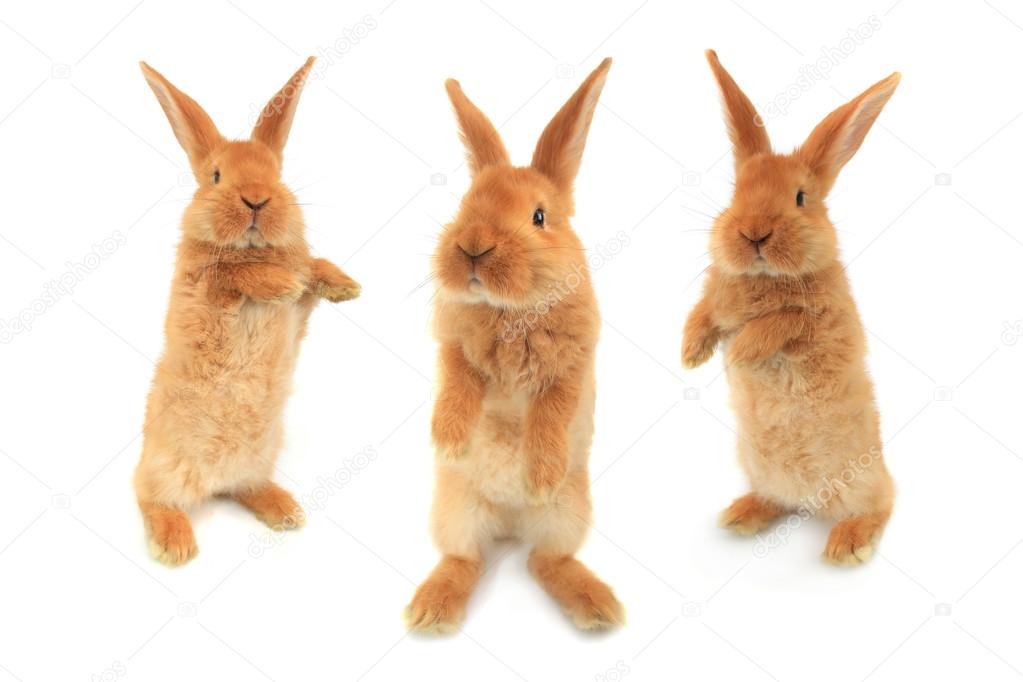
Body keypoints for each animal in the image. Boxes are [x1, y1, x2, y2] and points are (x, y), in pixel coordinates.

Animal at [133, 57, 360, 566]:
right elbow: (231, 277)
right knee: (149, 498)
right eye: (216, 176)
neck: (252, 249)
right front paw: (276, 283)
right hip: (162, 467)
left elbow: (311, 269)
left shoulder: (301, 308)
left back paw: (285, 511)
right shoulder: (202, 292)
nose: (257, 198)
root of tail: (212, 483)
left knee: (243, 488)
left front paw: (345, 285)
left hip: (258, 460)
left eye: (277, 173)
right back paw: (176, 544)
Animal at [405, 58, 623, 632]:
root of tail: (506, 521)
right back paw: (431, 609)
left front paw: (540, 474)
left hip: (568, 514)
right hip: (455, 511)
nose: (473, 246)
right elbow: (458, 383)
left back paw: (597, 605)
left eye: (539, 216)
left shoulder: (573, 366)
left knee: (546, 560)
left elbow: (551, 414)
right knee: (465, 559)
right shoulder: (452, 346)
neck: (513, 310)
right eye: (465, 204)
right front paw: (449, 441)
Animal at [682, 50, 899, 565]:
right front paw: (691, 353)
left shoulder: (820, 319)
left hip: (863, 480)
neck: (763, 276)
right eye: (735, 192)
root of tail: (811, 503)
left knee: (883, 504)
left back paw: (848, 543)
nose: (754, 233)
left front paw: (743, 350)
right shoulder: (713, 297)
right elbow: (703, 313)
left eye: (801, 198)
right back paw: (741, 515)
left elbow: (783, 321)